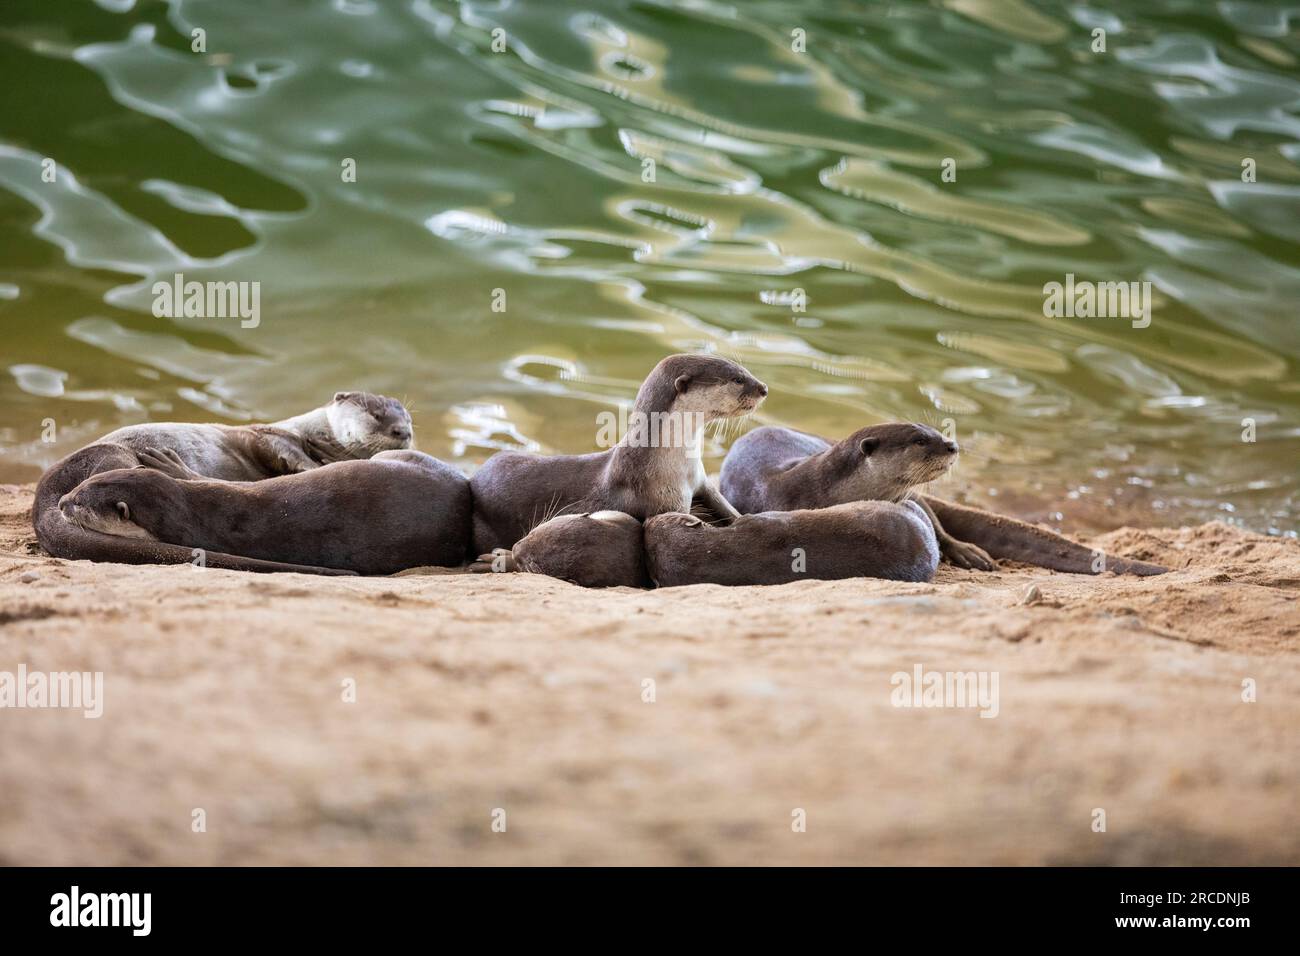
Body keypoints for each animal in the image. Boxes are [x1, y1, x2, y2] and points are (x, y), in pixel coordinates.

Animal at [32, 392, 412, 573]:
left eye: (408, 417)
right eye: (376, 414)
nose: (403, 432)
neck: (307, 431)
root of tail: (45, 494)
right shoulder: (266, 436)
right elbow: (286, 454)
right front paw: (318, 459)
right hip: (114, 457)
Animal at [469, 354, 767, 555]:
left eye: (744, 370)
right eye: (737, 379)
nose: (764, 388)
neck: (669, 465)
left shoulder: (701, 481)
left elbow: (727, 508)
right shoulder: (666, 501)